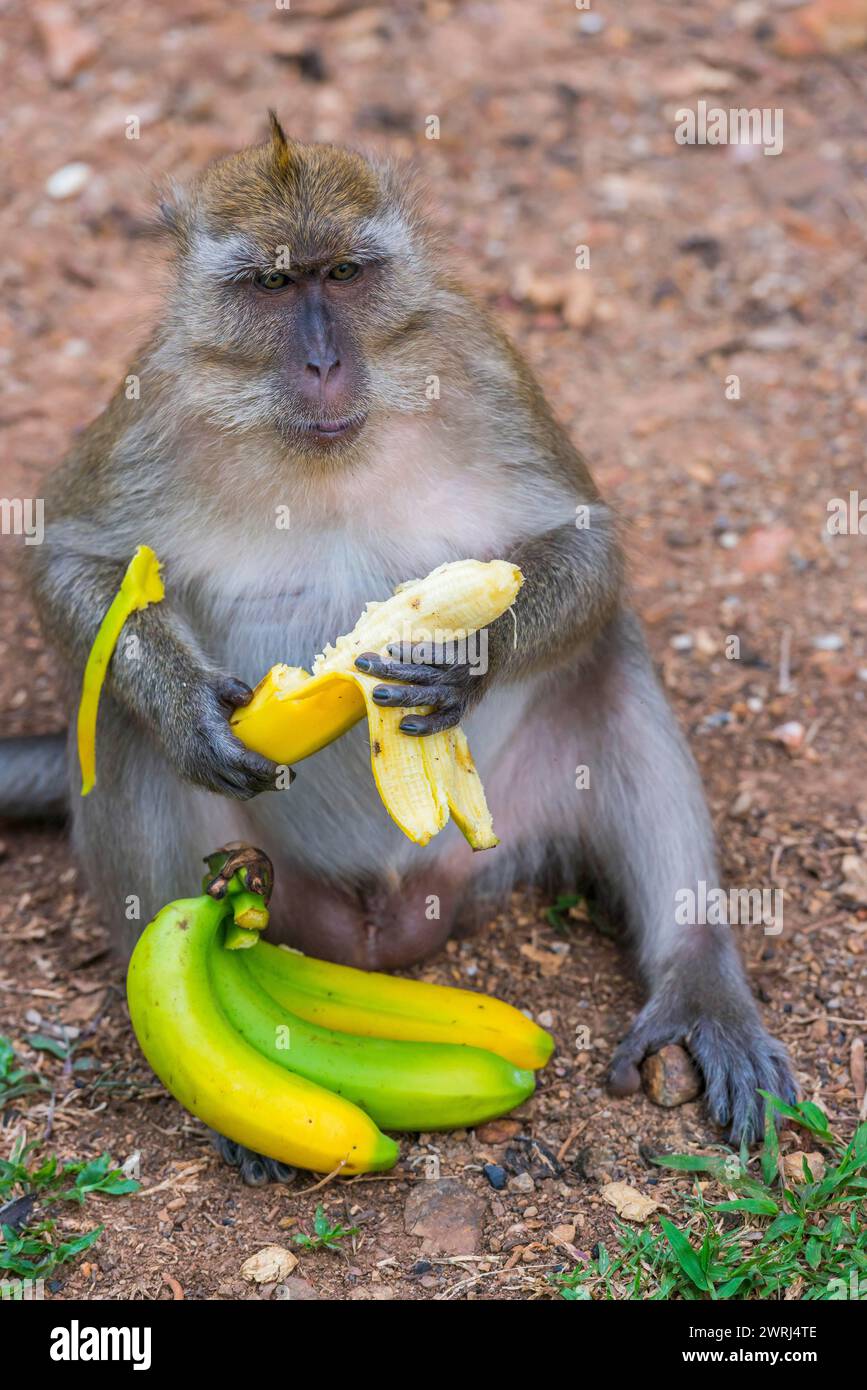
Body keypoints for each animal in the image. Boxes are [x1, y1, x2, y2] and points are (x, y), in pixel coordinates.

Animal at [4, 114, 795, 1182]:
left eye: (342, 273)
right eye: (270, 286)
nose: (320, 363)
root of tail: (383, 924)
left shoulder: (480, 360)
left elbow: (587, 546)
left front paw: (467, 658)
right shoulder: (154, 397)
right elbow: (69, 559)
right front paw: (189, 710)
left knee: (606, 653)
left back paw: (697, 974)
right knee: (122, 728)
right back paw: (208, 1057)